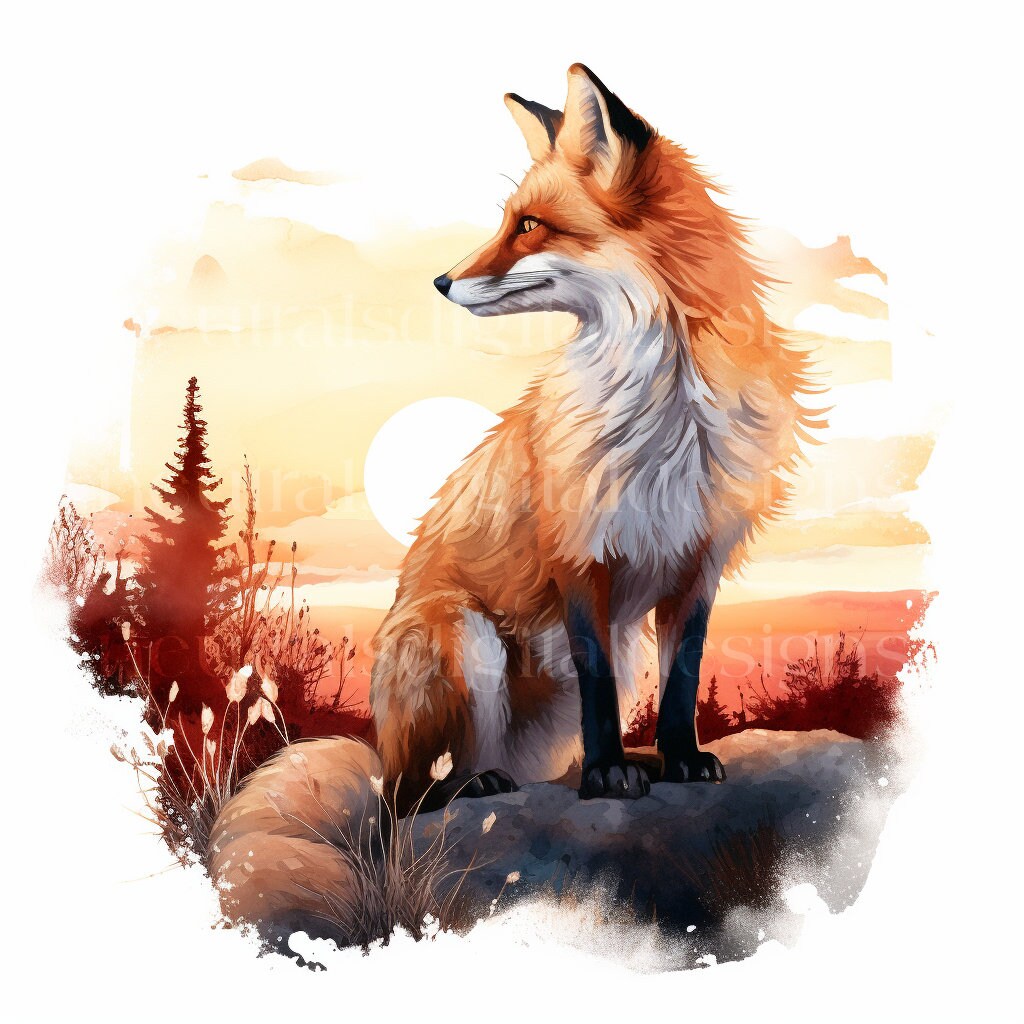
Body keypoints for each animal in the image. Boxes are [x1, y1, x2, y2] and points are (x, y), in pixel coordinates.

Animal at [208, 64, 817, 948]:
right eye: (507, 220)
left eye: (529, 225)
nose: (439, 281)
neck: (669, 406)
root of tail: (380, 746)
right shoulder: (581, 556)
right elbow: (600, 693)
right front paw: (608, 775)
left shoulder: (700, 560)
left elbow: (681, 683)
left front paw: (678, 761)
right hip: (463, 640)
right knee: (414, 797)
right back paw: (476, 784)